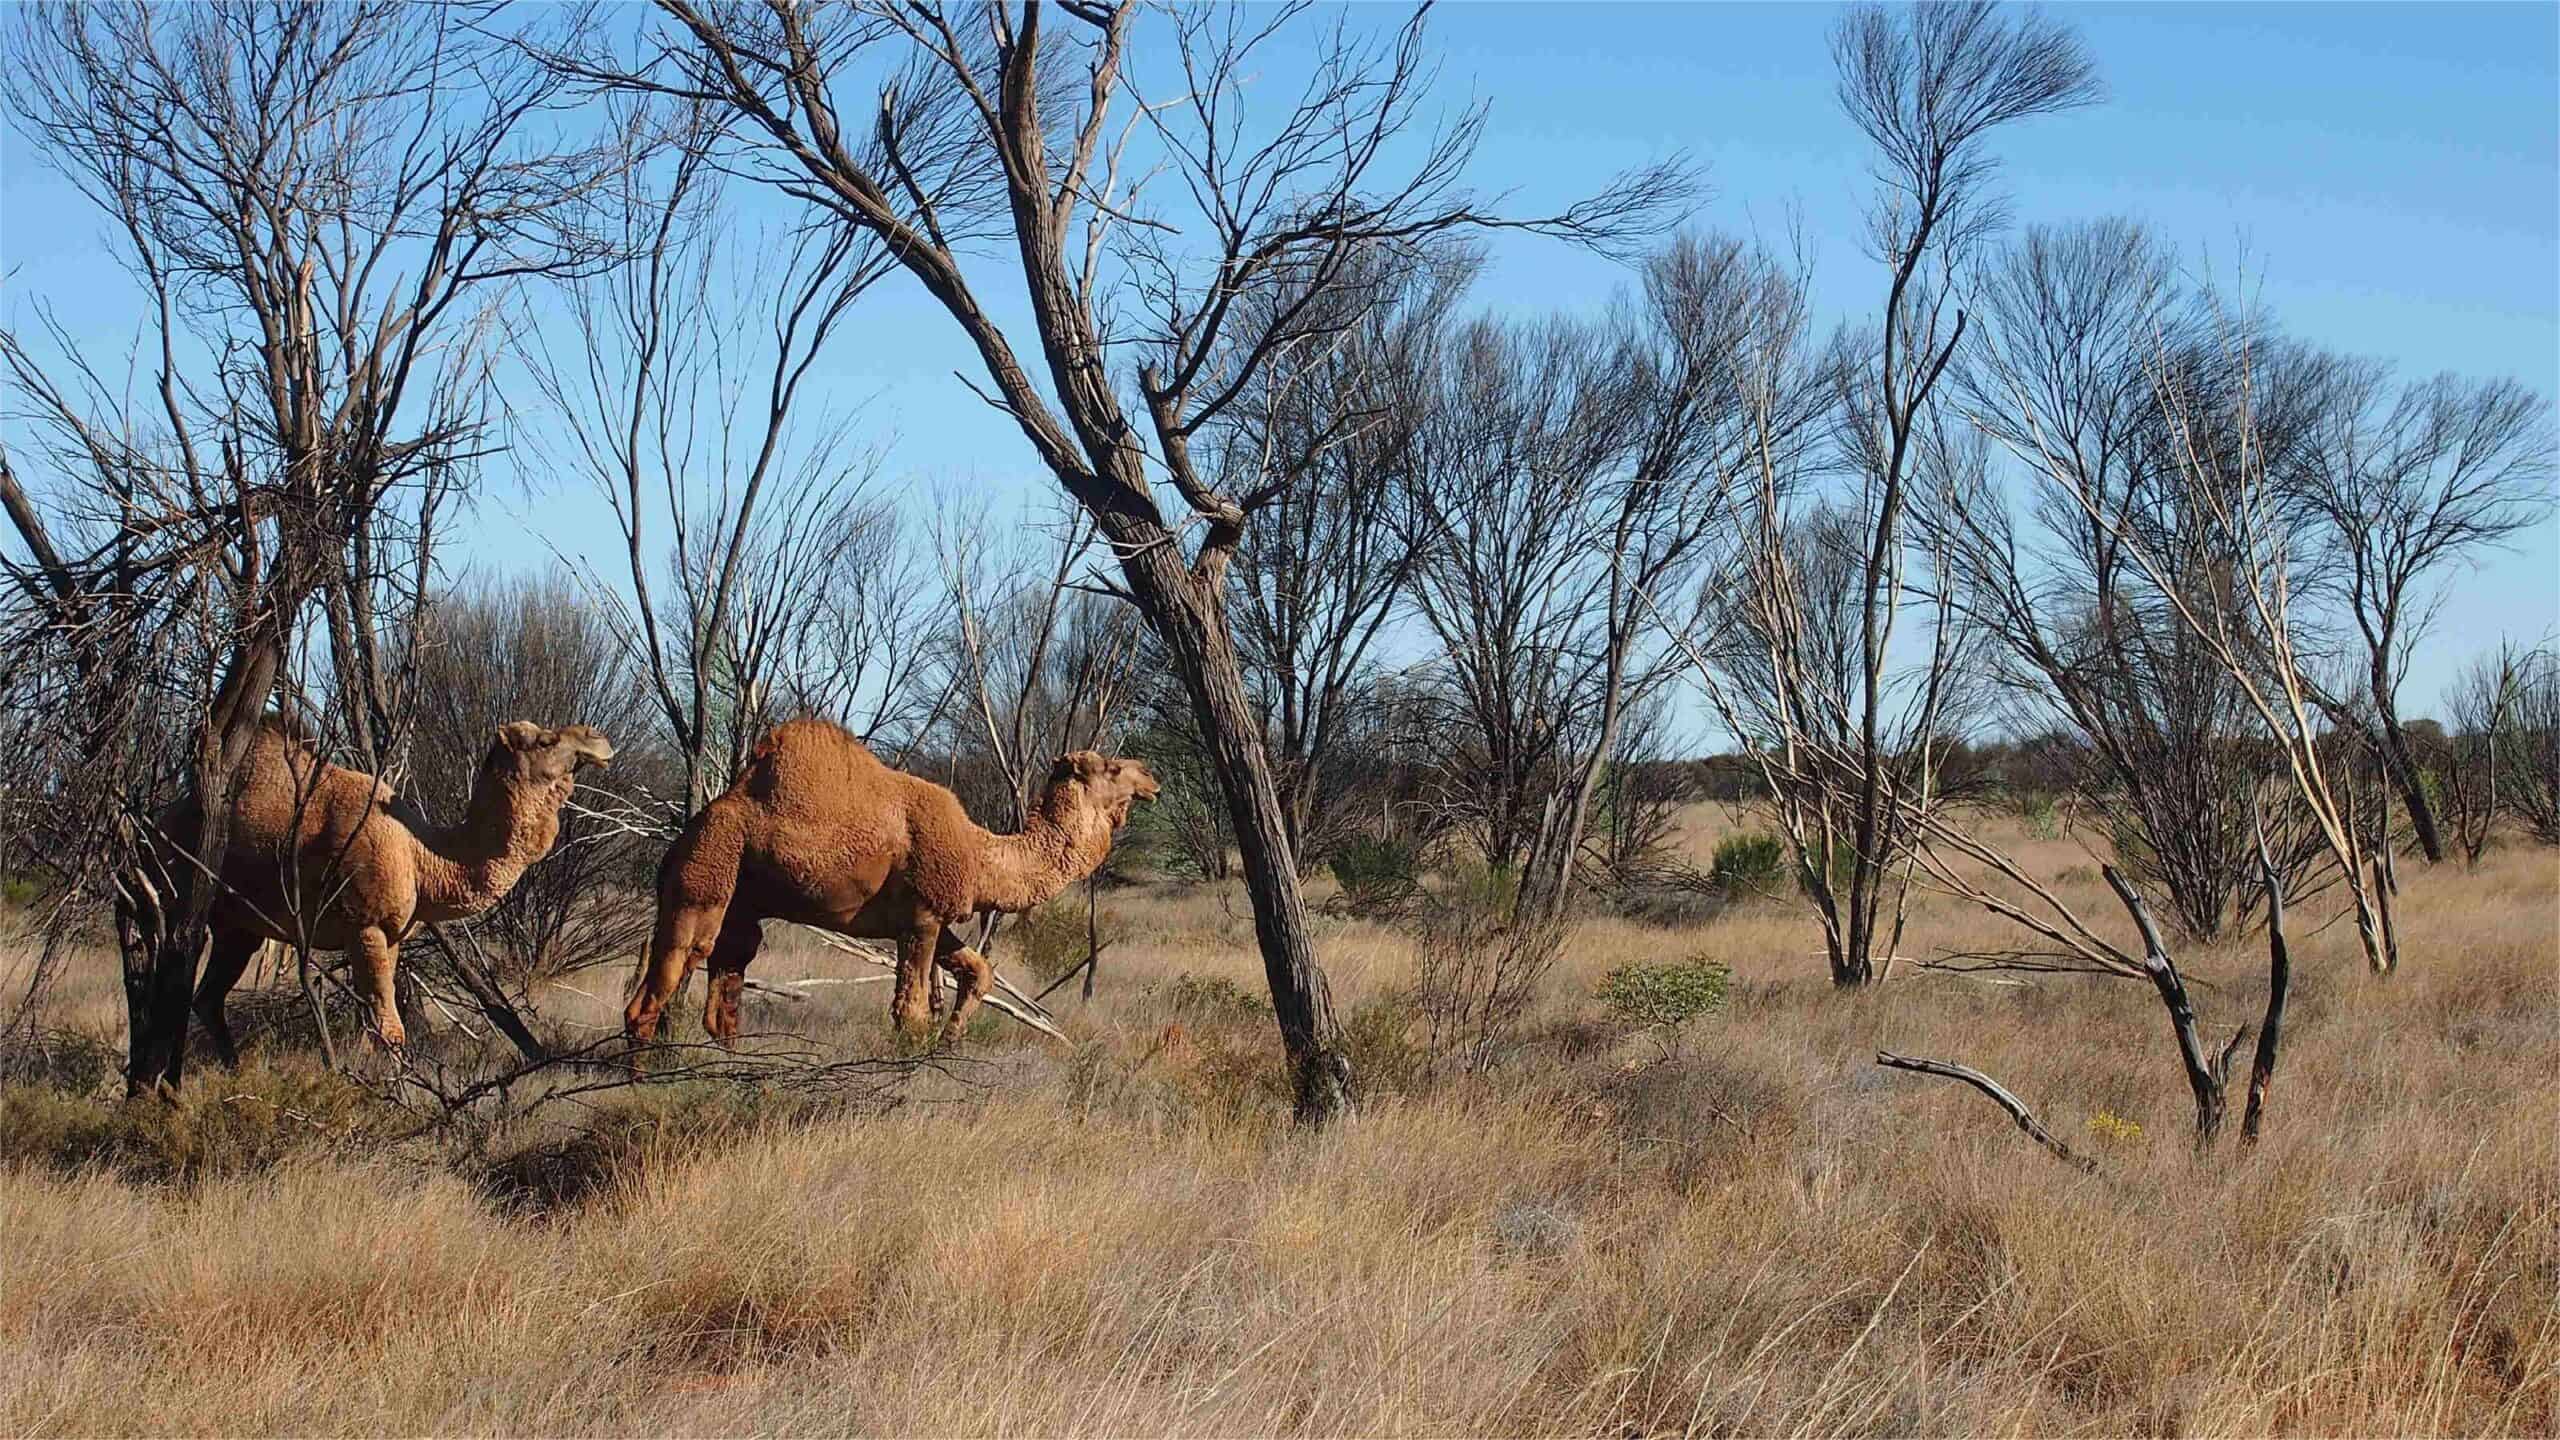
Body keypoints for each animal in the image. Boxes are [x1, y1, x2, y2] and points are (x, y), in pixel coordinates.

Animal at [142, 717, 614, 1063]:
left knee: (207, 997)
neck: (424, 857)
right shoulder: (364, 926)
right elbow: (388, 1027)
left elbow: (381, 1022)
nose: (598, 739)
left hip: (238, 929)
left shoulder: (392, 934)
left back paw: (233, 1070)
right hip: (169, 895)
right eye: (545, 740)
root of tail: (155, 824)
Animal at [623, 718, 1158, 1048]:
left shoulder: (934, 919)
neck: (979, 853)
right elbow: (911, 1014)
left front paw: (951, 1039)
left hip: (741, 908)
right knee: (652, 995)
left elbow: (977, 972)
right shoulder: (922, 916)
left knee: (723, 1002)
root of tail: (683, 837)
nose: (1151, 776)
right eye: (1112, 768)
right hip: (704, 880)